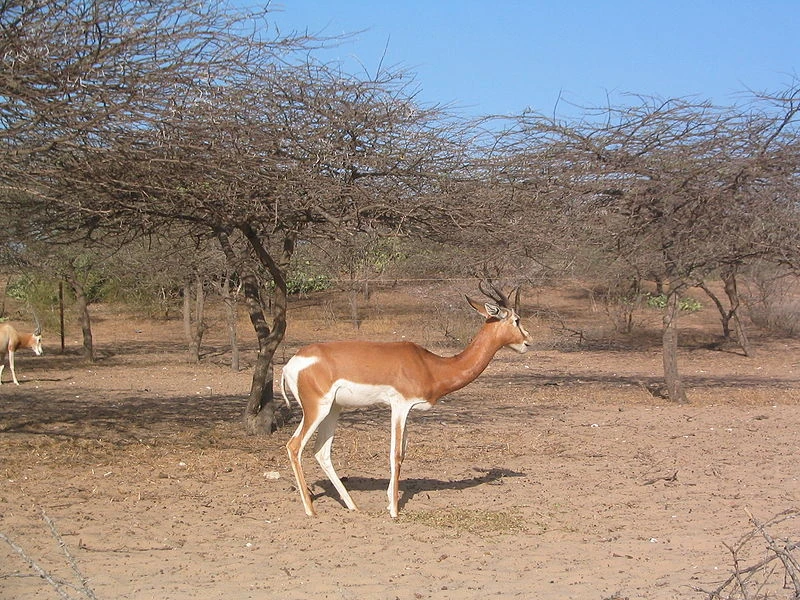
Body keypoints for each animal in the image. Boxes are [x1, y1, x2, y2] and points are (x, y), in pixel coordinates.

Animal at [282, 283, 532, 518]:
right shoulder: (399, 406)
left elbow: (404, 451)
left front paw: (389, 502)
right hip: (317, 409)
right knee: (294, 446)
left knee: (321, 452)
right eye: (516, 320)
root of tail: (290, 364)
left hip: (333, 410)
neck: (431, 366)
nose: (528, 342)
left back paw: (353, 506)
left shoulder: (408, 410)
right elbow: (396, 454)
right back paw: (311, 510)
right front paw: (394, 510)